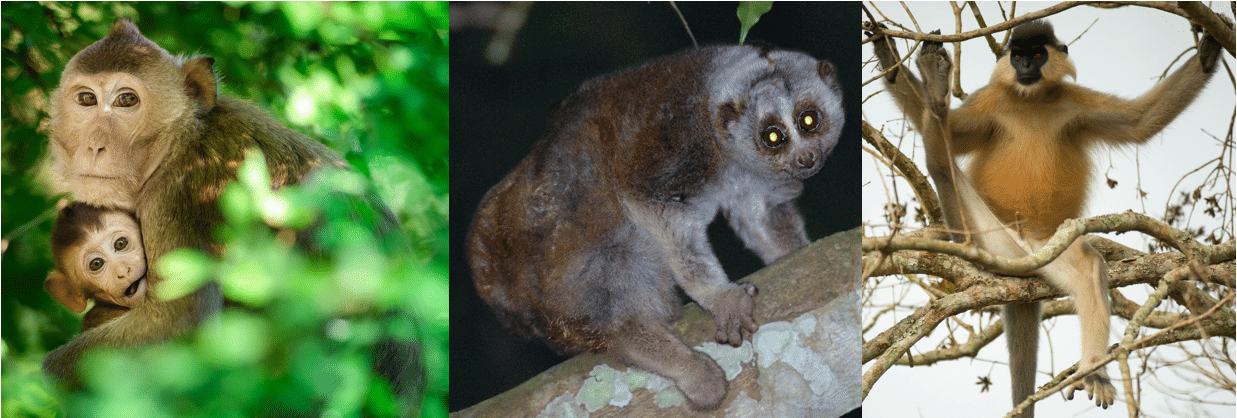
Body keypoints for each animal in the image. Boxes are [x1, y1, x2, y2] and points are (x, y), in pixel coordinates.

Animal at [466, 44, 844, 410]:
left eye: (809, 120)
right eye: (773, 136)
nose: (806, 159)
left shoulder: (752, 178)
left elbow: (760, 216)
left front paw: (792, 252)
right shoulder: (673, 146)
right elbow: (651, 207)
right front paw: (720, 298)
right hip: (560, 286)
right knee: (619, 262)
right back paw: (675, 361)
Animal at [870, 18, 1226, 417]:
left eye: (1038, 55)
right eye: (1018, 56)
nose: (1025, 66)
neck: (1033, 100)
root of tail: (1021, 257)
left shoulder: (1075, 102)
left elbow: (1141, 121)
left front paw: (1209, 52)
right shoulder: (989, 100)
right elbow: (935, 129)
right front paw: (886, 51)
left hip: (1045, 249)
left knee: (1089, 268)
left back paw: (1094, 370)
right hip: (985, 239)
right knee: (939, 159)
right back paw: (935, 86)